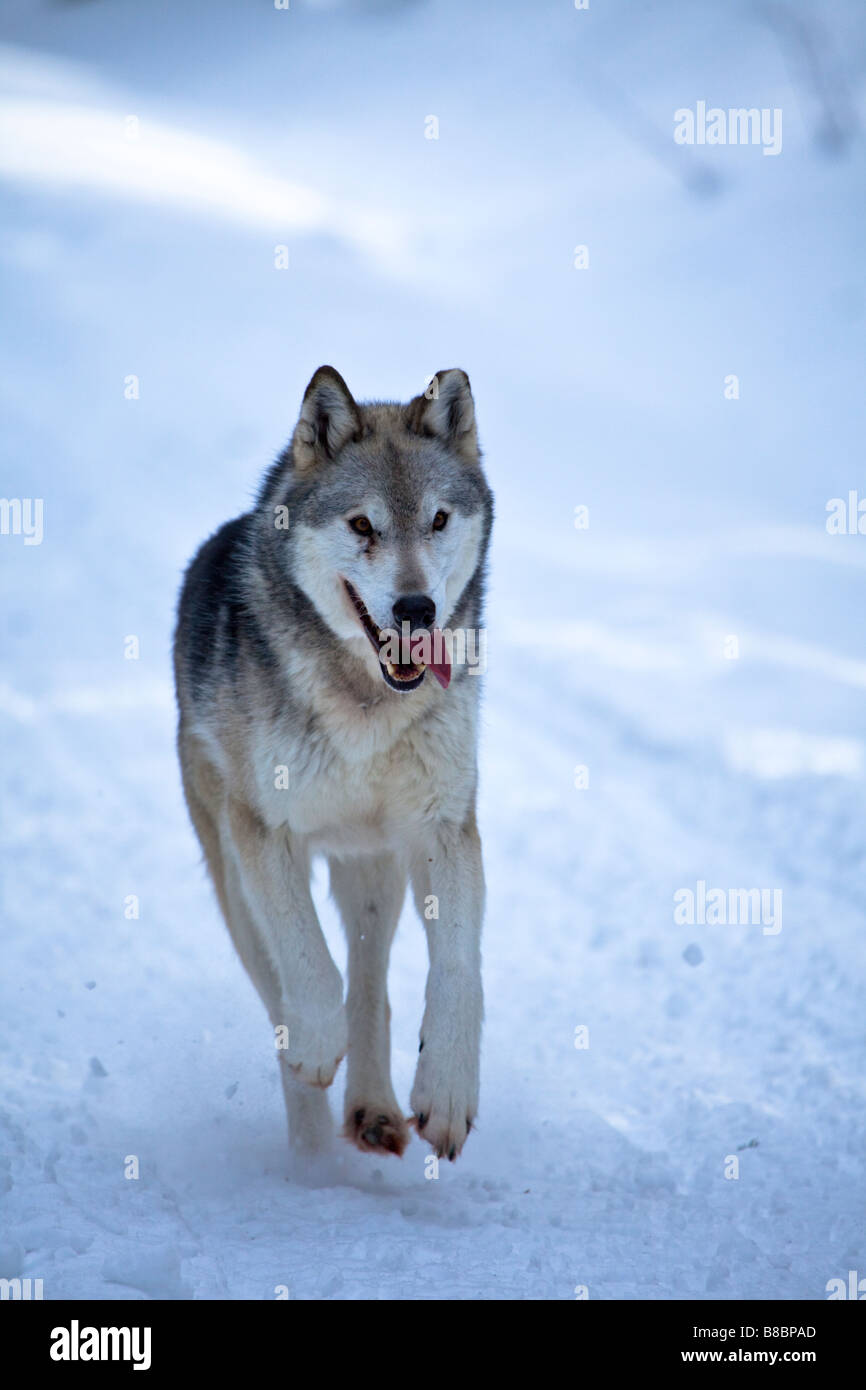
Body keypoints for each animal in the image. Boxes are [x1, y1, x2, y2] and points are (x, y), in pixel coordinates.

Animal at [174, 366, 493, 1162]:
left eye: (439, 520)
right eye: (362, 526)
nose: (416, 607)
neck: (368, 706)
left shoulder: (444, 827)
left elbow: (458, 965)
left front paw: (447, 1093)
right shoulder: (263, 831)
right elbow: (307, 963)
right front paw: (317, 1051)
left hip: (372, 869)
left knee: (370, 982)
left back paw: (373, 1109)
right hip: (232, 883)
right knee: (283, 996)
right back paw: (313, 1149)